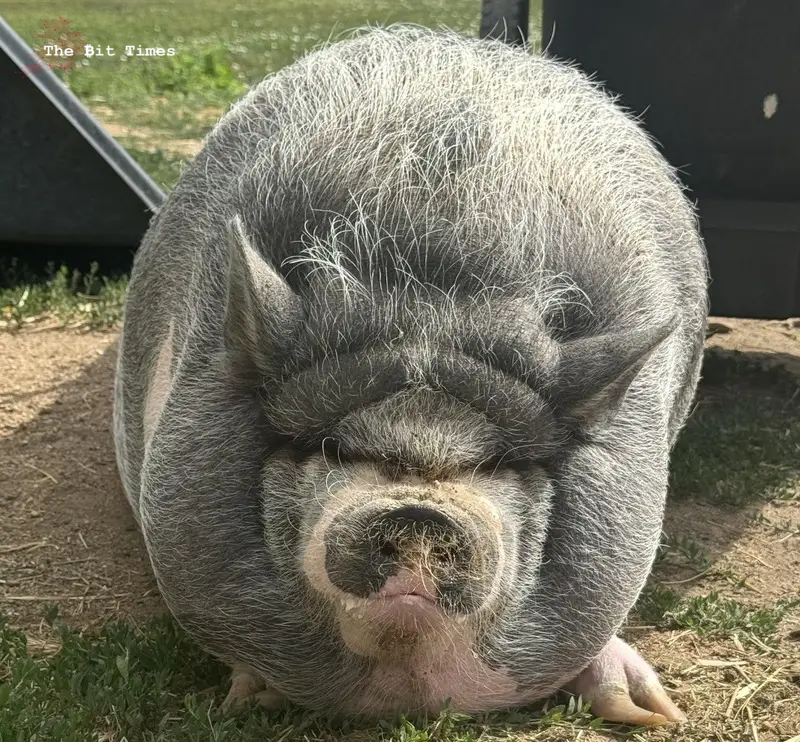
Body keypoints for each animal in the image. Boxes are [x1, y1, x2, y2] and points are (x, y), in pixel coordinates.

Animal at [113, 25, 708, 726]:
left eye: (499, 465)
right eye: (330, 449)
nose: (420, 515)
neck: (432, 301)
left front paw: (657, 715)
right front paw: (245, 698)